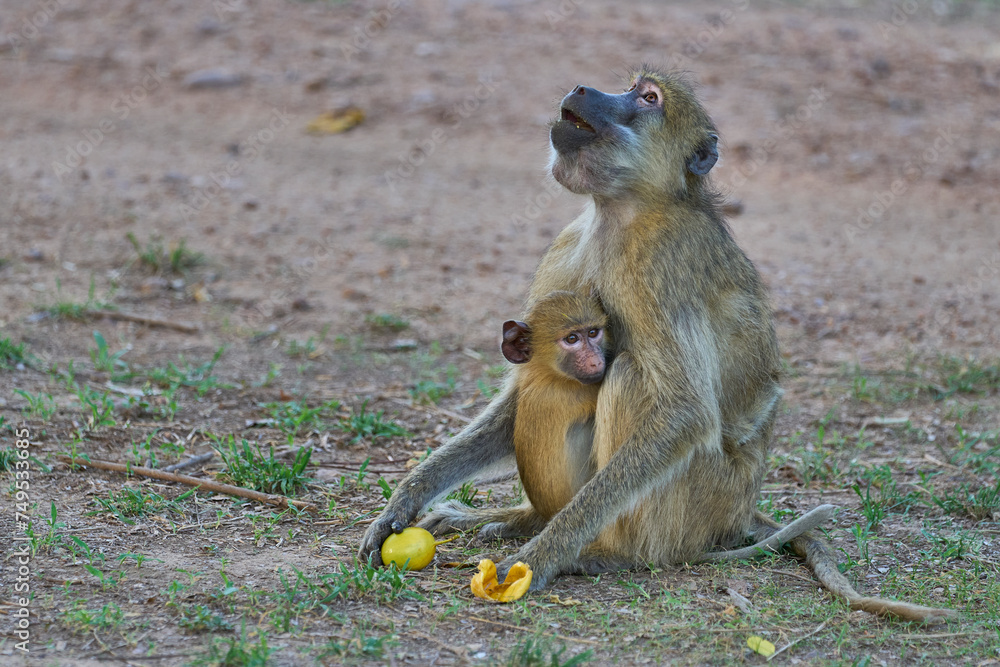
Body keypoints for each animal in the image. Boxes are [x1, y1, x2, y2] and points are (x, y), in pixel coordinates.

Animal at [360, 67, 956, 623]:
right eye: (628, 86)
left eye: (647, 98)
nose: (583, 89)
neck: (622, 212)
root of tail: (740, 511)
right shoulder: (568, 247)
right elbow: (526, 380)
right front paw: (404, 501)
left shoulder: (661, 264)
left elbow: (685, 412)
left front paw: (544, 555)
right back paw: (518, 520)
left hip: (701, 503)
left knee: (631, 377)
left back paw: (607, 553)